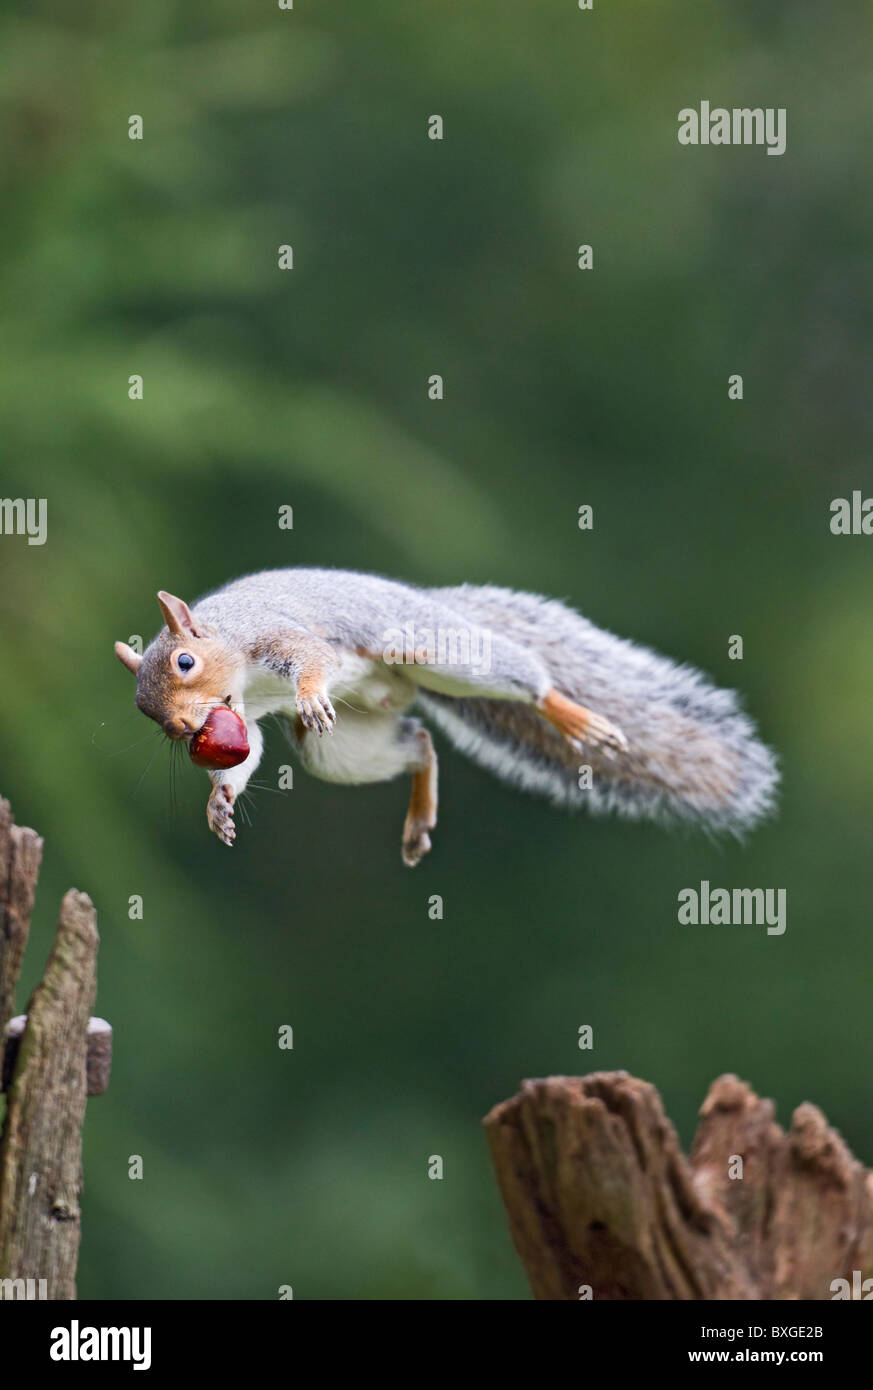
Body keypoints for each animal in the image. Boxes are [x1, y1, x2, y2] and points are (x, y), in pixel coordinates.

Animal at [114, 567, 778, 864]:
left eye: (185, 661)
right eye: (144, 712)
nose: (181, 729)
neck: (232, 649)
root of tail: (423, 599)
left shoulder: (279, 636)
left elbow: (312, 661)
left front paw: (307, 692)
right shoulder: (242, 718)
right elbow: (244, 748)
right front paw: (219, 803)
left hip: (434, 650)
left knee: (525, 677)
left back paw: (571, 715)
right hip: (339, 747)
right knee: (420, 741)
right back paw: (419, 810)